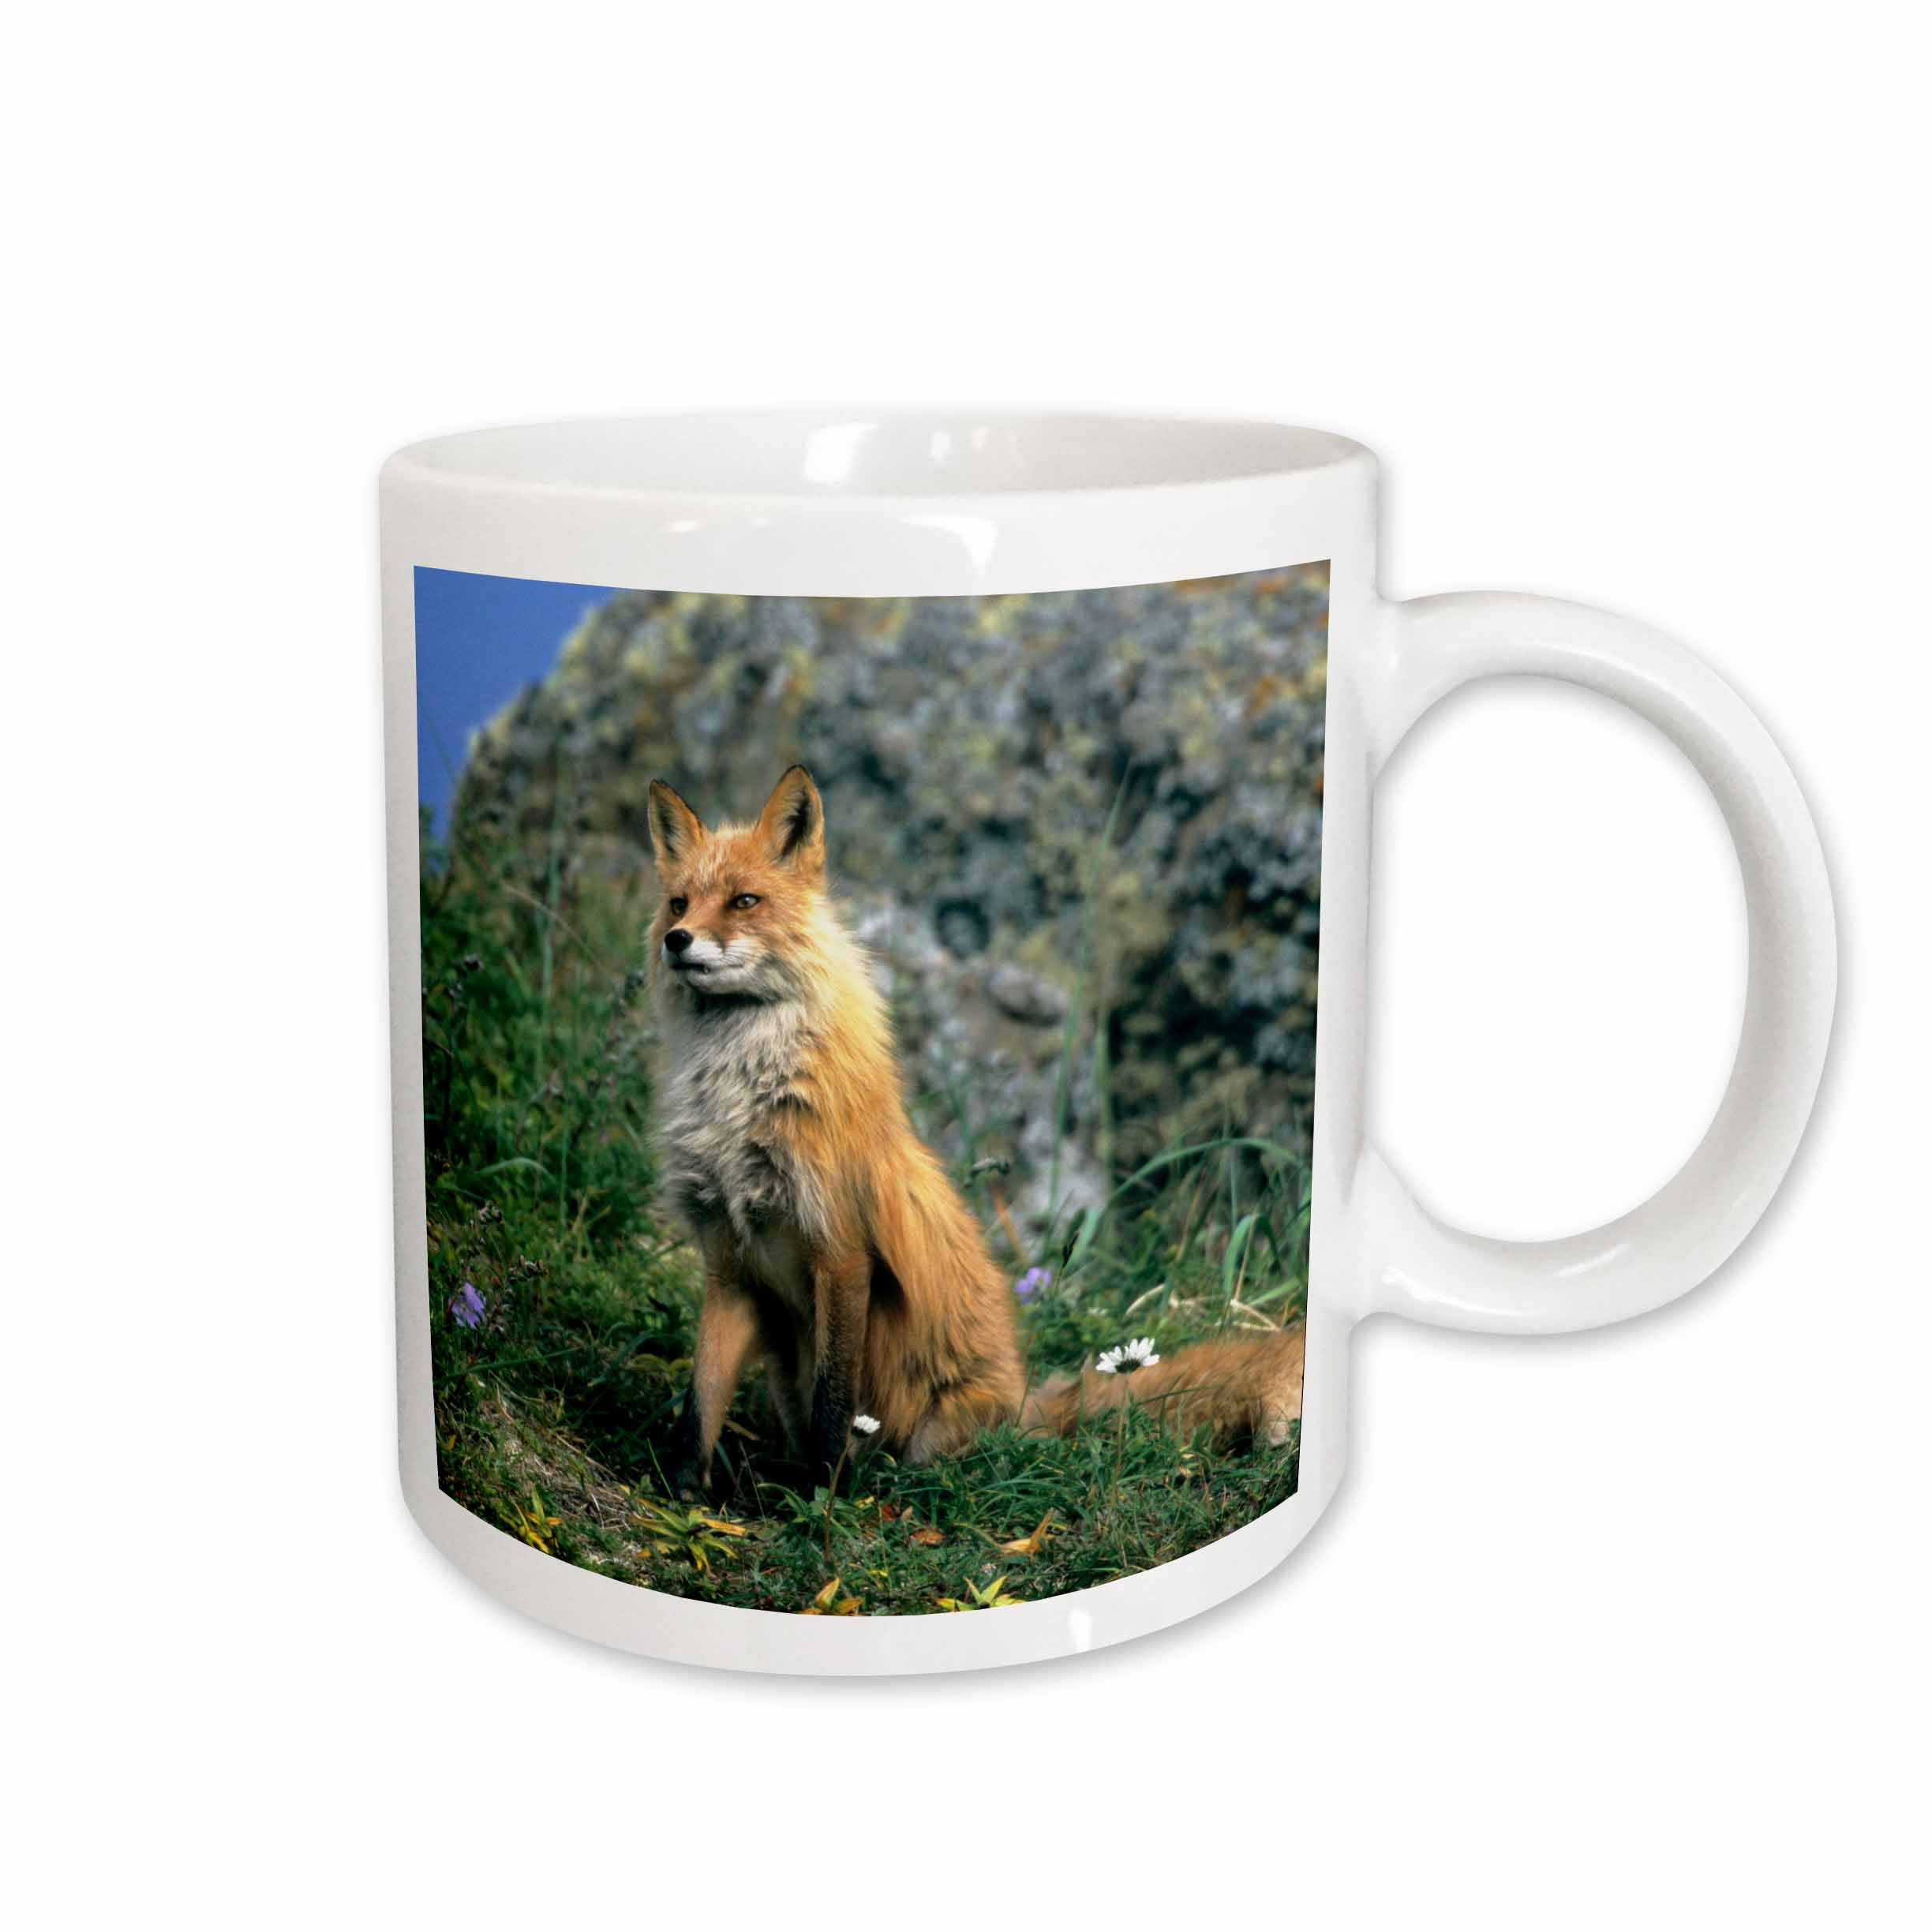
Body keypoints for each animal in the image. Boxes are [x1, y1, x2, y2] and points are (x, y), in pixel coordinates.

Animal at [646, 764, 1303, 1494]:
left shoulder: (840, 1251)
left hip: (935, 1432)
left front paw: (823, 1497)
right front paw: (679, 1492)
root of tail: (1024, 1408)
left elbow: (834, 1404)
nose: (678, 940)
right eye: (679, 903)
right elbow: (700, 1402)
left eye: (744, 901)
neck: (741, 1102)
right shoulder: (729, 1264)